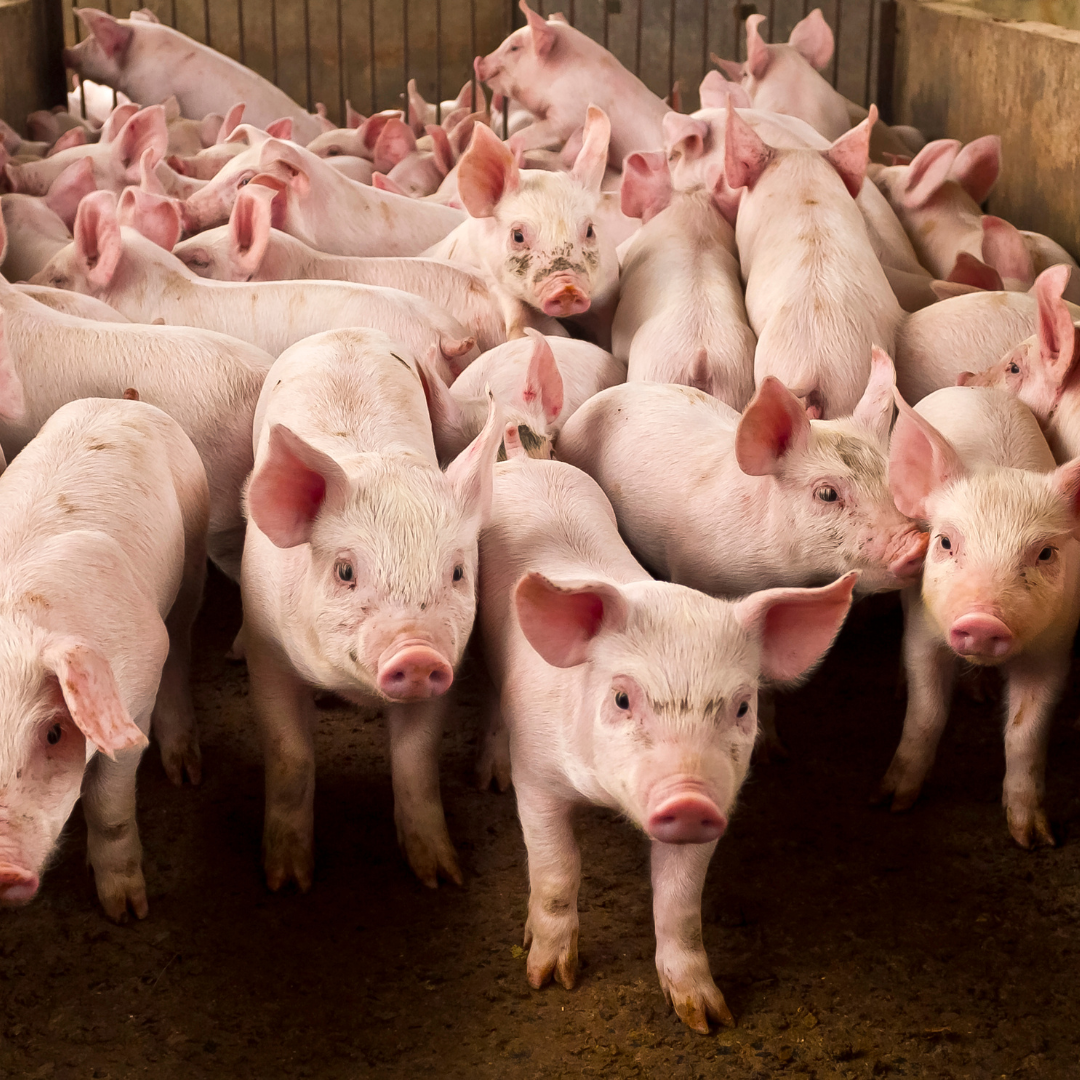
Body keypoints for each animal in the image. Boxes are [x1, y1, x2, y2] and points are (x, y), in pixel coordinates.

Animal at [0, 396, 208, 918]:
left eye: (54, 733)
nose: (4, 869)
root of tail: (123, 400)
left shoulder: (131, 703)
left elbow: (109, 807)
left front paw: (129, 912)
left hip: (194, 542)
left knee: (180, 643)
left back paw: (186, 774)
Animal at [240, 328, 502, 890]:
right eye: (344, 571)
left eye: (456, 572)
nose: (417, 653)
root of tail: (346, 331)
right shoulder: (265, 650)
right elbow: (289, 754)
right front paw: (288, 882)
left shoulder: (450, 666)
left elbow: (416, 762)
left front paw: (442, 877)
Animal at [425, 111, 619, 341]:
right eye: (518, 236)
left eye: (589, 230)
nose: (566, 289)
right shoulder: (493, 276)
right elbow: (518, 318)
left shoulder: (609, 287)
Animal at [477, 451, 857, 1031]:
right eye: (621, 699)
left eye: (742, 707)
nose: (690, 799)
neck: (604, 799)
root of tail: (522, 459)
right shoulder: (537, 779)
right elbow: (556, 870)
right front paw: (548, 979)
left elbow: (680, 903)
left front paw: (707, 1018)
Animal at [880, 385, 1080, 848]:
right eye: (945, 542)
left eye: (1046, 553)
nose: (983, 622)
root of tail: (975, 387)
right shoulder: (925, 631)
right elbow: (926, 714)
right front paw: (891, 803)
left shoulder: (1055, 649)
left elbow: (1025, 732)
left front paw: (1033, 839)